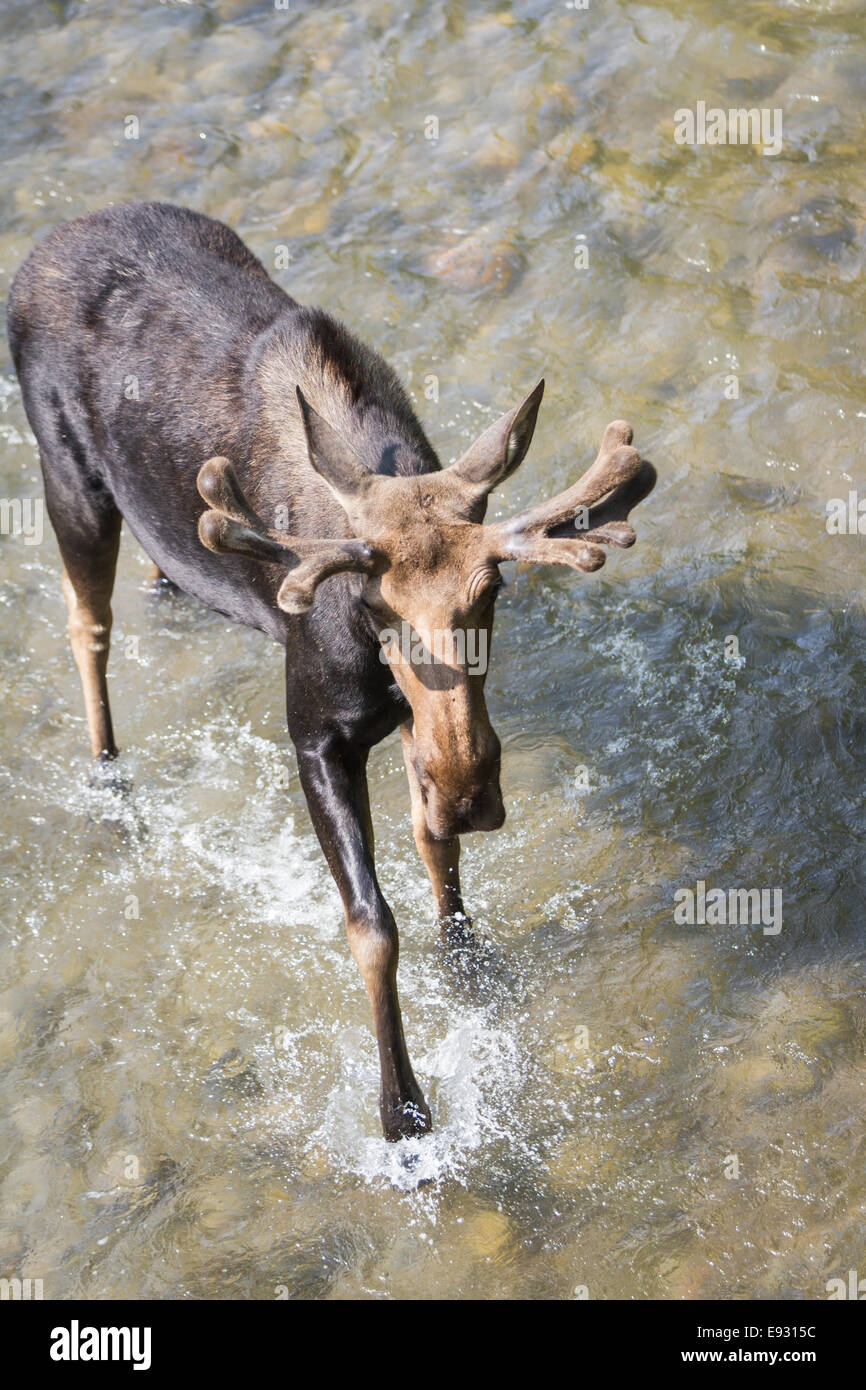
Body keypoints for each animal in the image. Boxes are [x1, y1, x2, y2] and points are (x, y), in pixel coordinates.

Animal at [7, 202, 655, 1141]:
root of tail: (46, 245)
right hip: (69, 479)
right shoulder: (314, 737)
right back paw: (106, 774)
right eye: (378, 609)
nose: (473, 793)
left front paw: (468, 964)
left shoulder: (420, 733)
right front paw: (403, 1113)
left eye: (492, 588)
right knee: (86, 628)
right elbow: (371, 926)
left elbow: (433, 853)